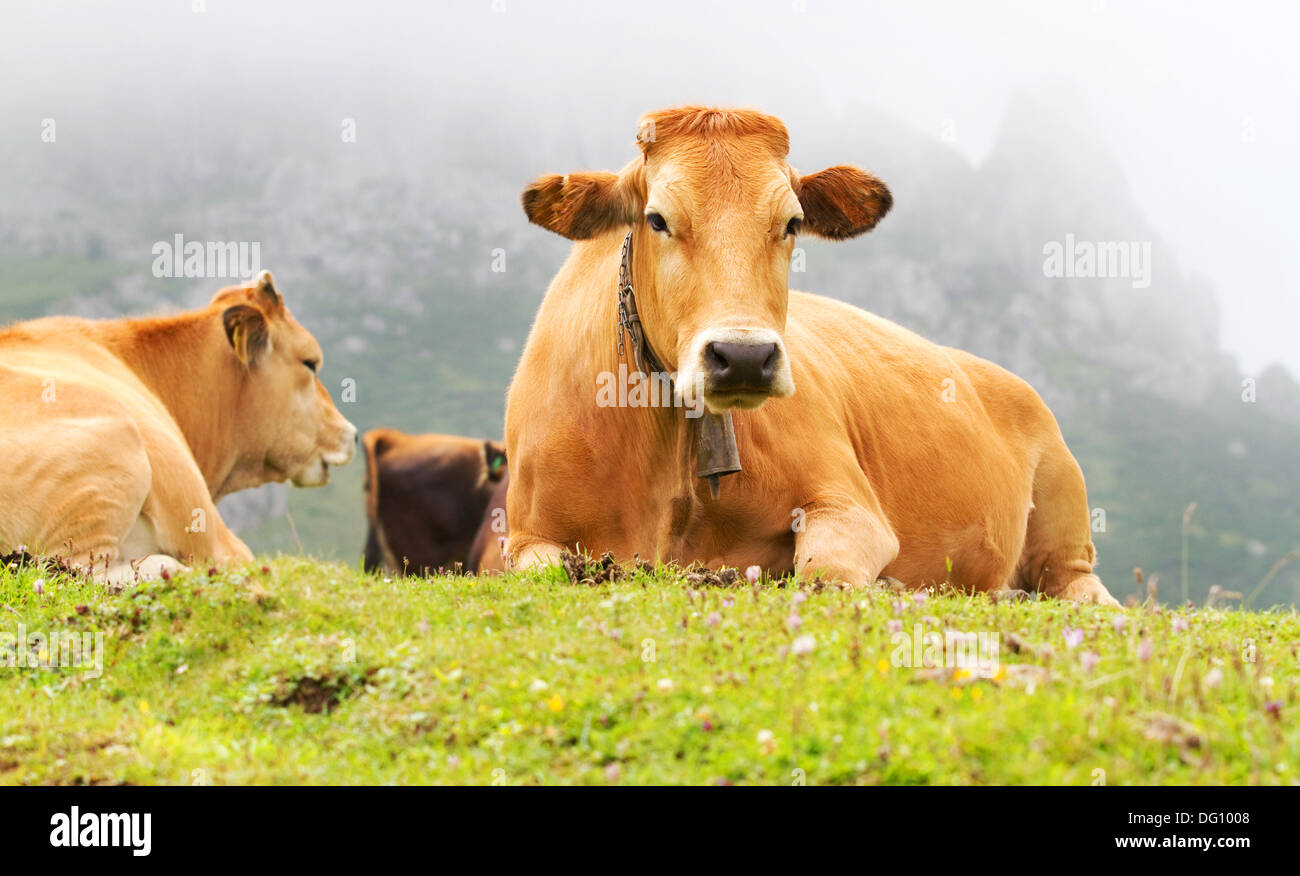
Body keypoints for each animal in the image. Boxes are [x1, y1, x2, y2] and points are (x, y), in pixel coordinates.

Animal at [504, 106, 1118, 606]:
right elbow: (546, 571)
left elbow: (825, 571)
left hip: (1063, 501)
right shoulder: (525, 534)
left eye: (792, 222)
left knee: (1075, 580)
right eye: (657, 219)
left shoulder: (852, 505)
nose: (743, 356)